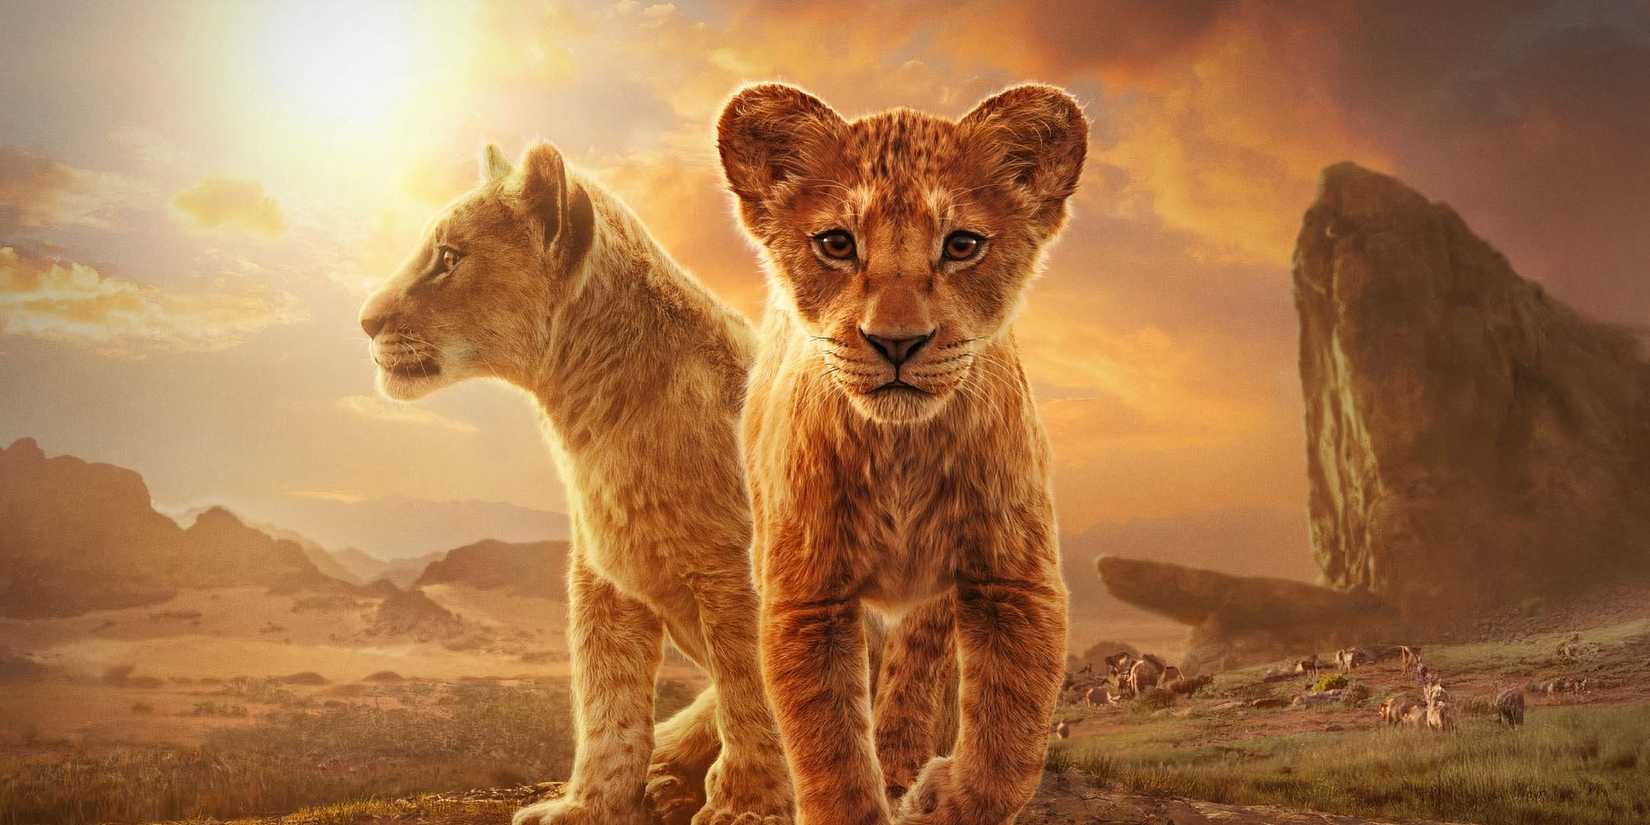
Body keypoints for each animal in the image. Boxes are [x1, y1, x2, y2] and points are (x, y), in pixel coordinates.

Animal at [357, 142, 791, 825]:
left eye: (449, 258)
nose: (365, 321)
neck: (591, 416)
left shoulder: (741, 573)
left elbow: (752, 689)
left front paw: (745, 807)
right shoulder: (601, 578)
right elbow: (605, 699)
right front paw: (586, 804)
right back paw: (667, 776)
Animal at [717, 82, 1085, 825]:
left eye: (962, 244)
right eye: (836, 243)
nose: (896, 342)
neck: (900, 451)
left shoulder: (1015, 577)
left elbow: (1009, 746)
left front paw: (944, 798)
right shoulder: (806, 592)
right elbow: (828, 745)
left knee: (920, 651)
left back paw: (903, 757)